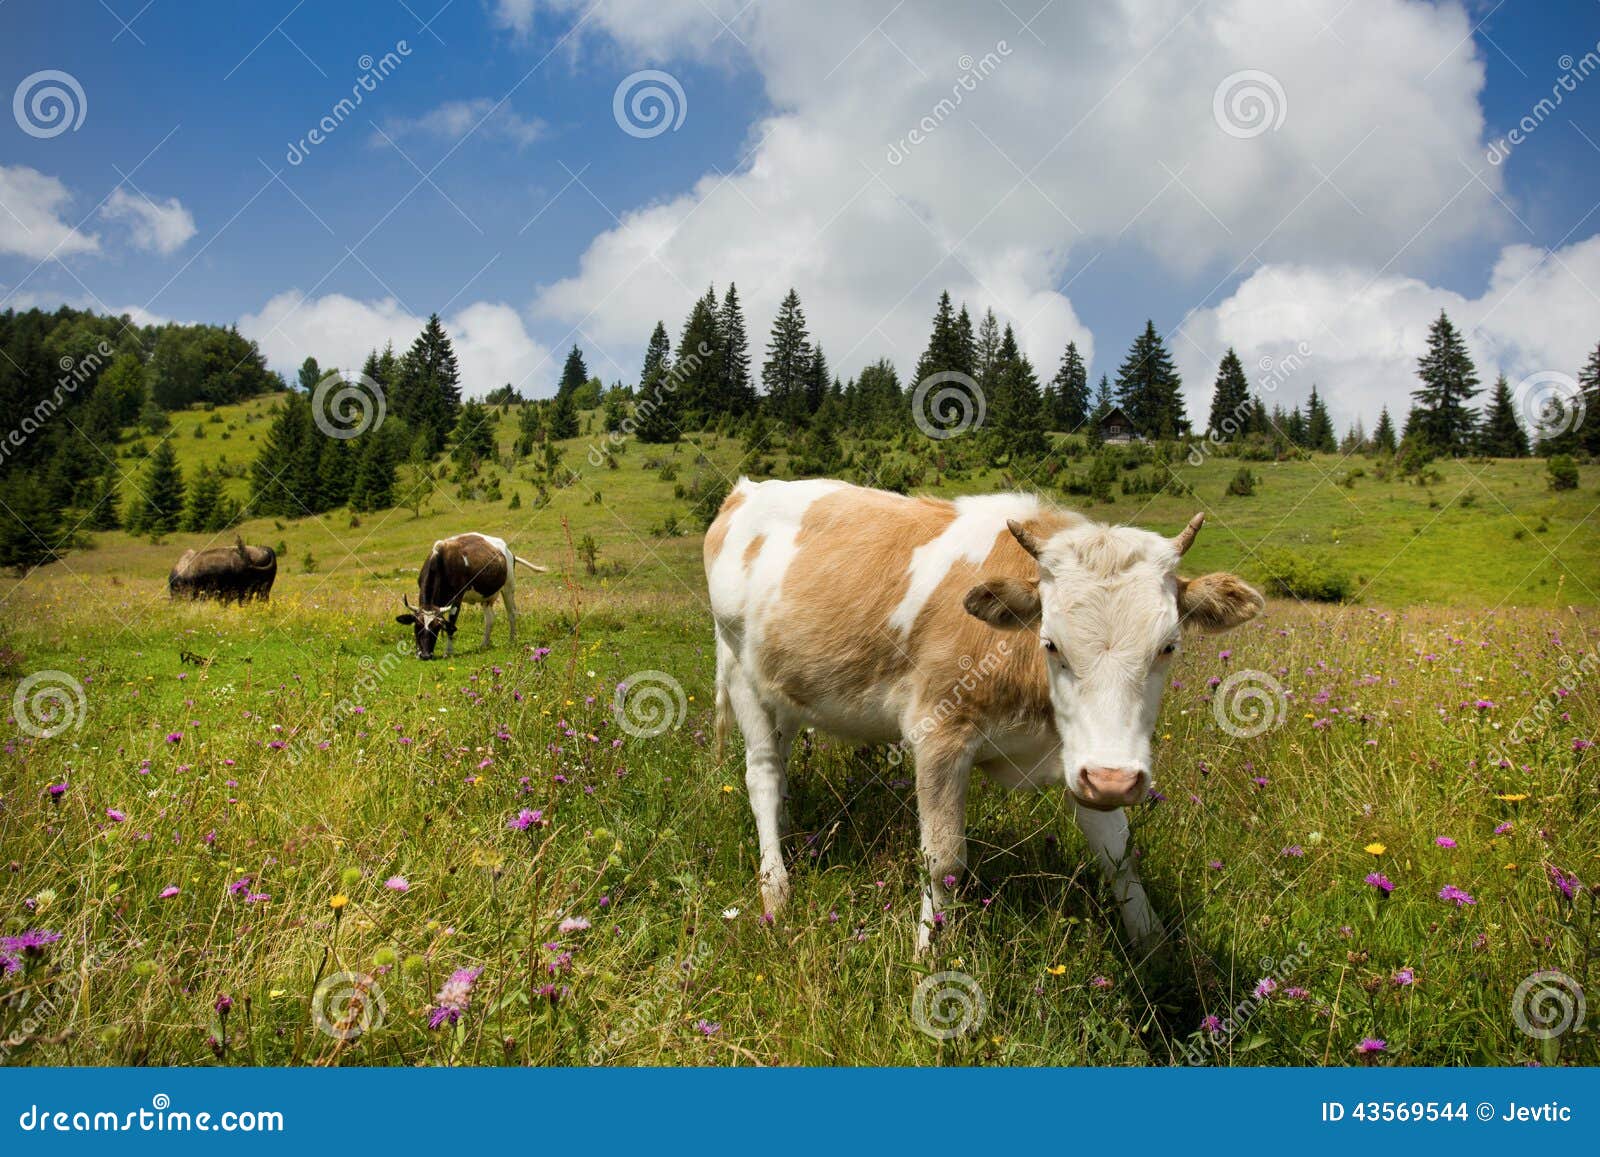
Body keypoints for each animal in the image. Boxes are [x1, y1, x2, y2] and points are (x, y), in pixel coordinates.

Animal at [396, 533, 548, 660]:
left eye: (437, 628)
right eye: (417, 626)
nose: (425, 655)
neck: (440, 561)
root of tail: (509, 551)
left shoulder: (457, 598)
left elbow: (451, 624)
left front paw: (448, 651)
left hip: (508, 587)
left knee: (512, 614)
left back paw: (512, 640)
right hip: (487, 598)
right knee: (490, 619)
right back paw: (484, 644)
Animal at [704, 478, 1264, 954]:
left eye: (1168, 646)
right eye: (1051, 643)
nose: (1114, 780)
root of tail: (747, 489)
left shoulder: (1085, 757)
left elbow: (1118, 855)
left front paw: (1155, 951)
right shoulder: (940, 734)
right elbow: (943, 859)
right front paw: (928, 953)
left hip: (785, 689)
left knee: (781, 771)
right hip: (739, 669)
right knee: (762, 775)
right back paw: (775, 885)